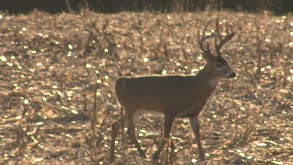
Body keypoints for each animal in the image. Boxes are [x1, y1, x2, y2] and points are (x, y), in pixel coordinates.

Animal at [109, 19, 235, 162]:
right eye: (218, 65)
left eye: (227, 62)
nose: (233, 73)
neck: (195, 87)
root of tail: (119, 82)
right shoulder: (170, 109)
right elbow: (166, 136)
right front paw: (155, 156)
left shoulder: (193, 113)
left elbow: (197, 134)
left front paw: (202, 157)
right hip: (131, 106)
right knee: (130, 130)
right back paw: (143, 155)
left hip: (134, 109)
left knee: (116, 124)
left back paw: (112, 157)